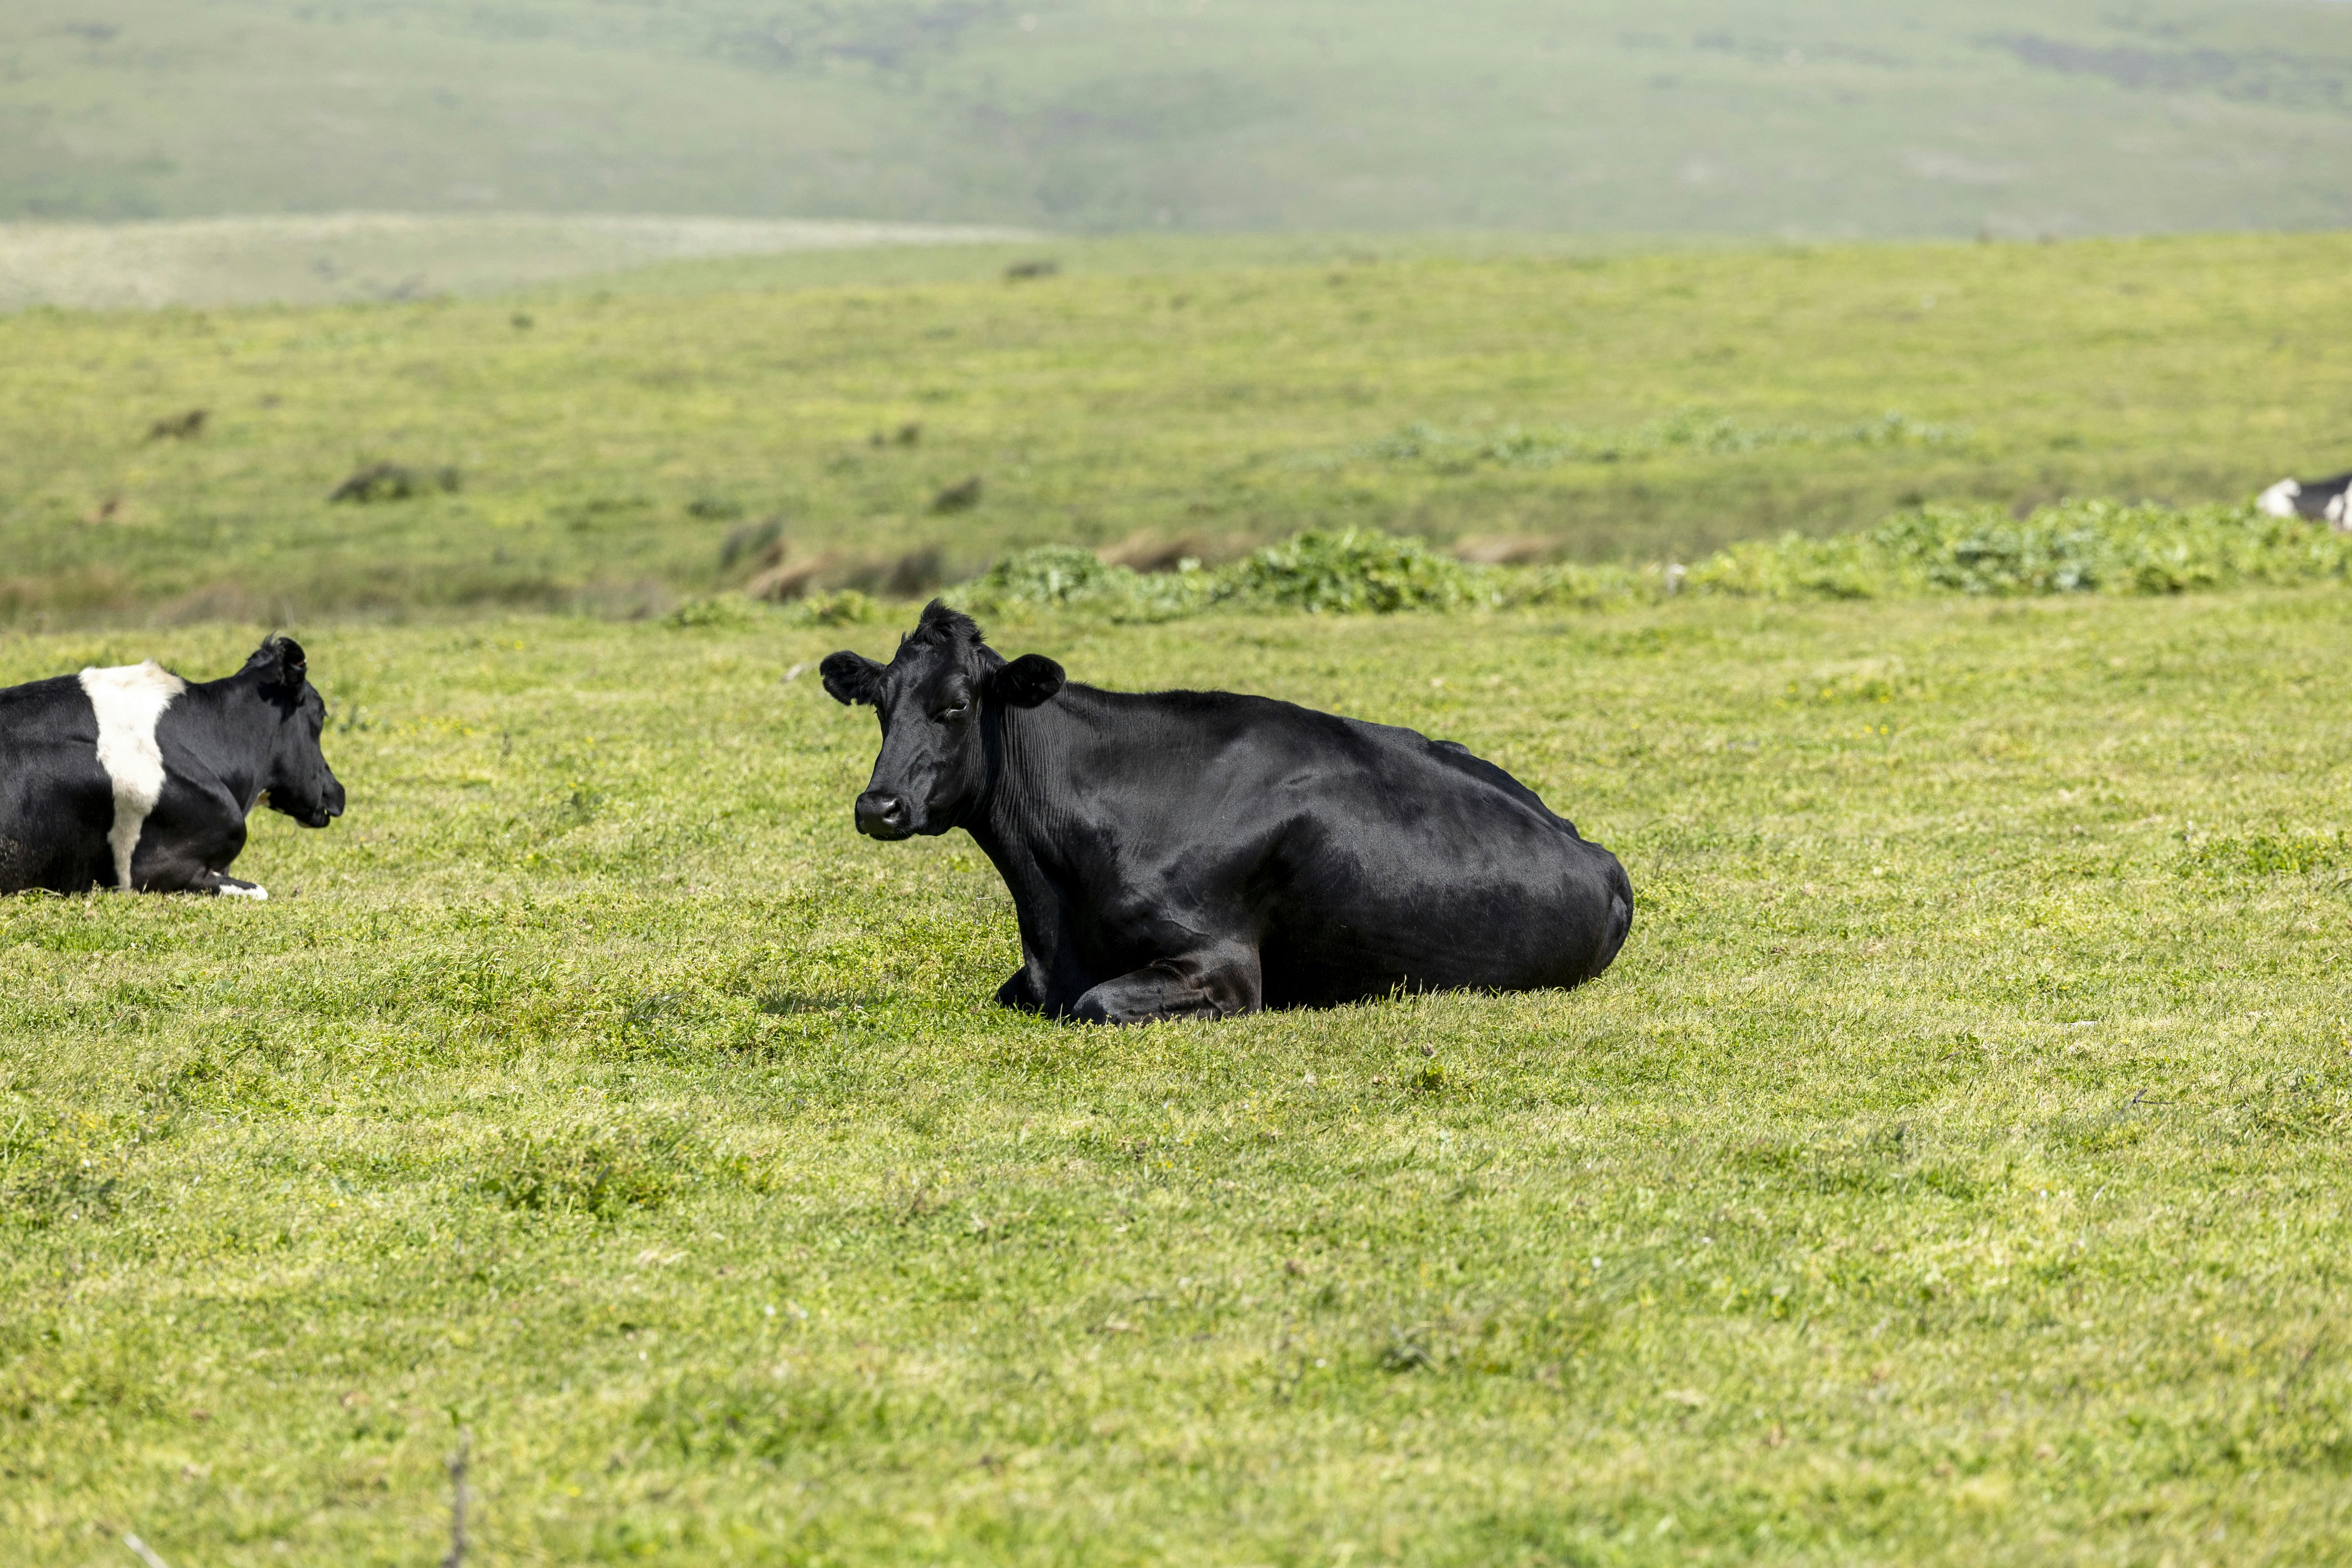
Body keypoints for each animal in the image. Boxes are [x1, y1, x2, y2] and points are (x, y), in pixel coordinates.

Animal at [820, 602, 1632, 1024]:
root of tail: (1597, 852)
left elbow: (1097, 1004)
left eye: (956, 705)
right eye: (881, 705)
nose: (878, 805)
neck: (1051, 905)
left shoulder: (1226, 966)